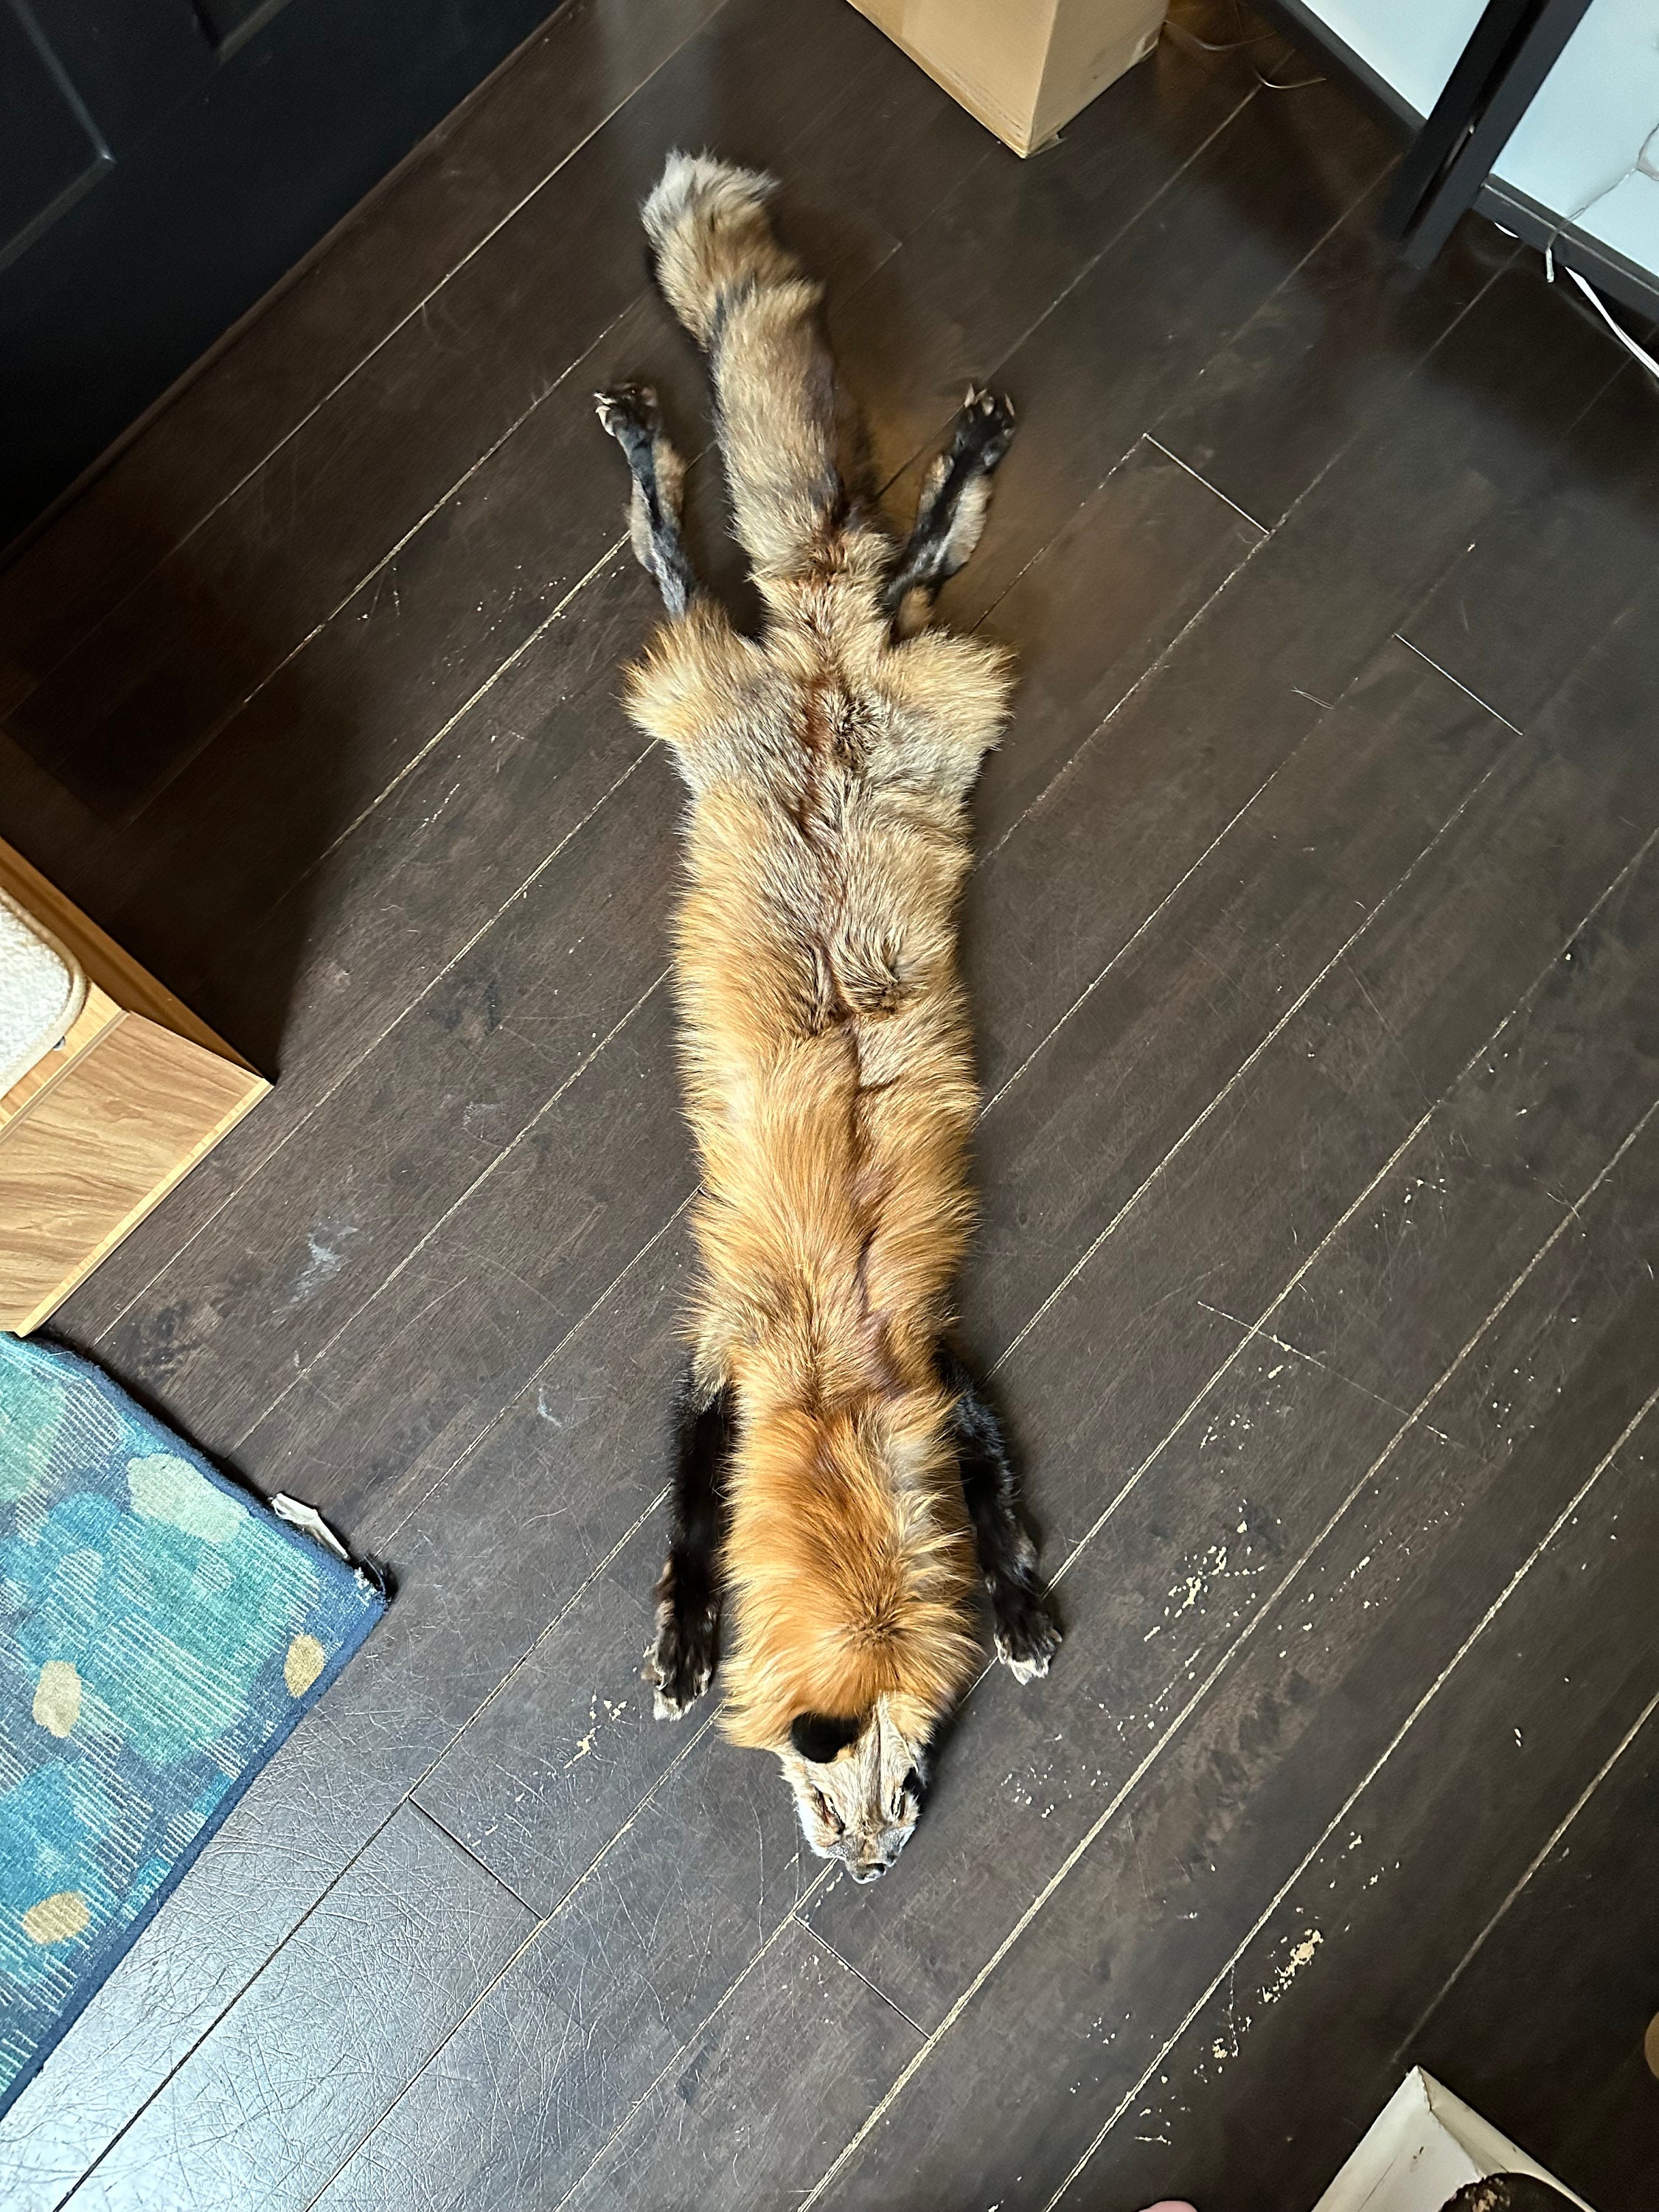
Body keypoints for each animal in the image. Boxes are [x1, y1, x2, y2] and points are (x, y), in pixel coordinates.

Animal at [597, 150, 1060, 1884]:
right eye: (836, 1802)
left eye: (904, 1797)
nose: (865, 1877)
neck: (846, 1396)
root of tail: (812, 663)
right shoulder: (722, 1361)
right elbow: (681, 1518)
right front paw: (681, 1636)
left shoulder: (941, 1369)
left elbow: (1001, 1501)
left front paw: (1022, 1605)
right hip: (707, 687)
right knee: (684, 563)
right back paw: (647, 441)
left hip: (921, 687)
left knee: (909, 562)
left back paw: (971, 449)